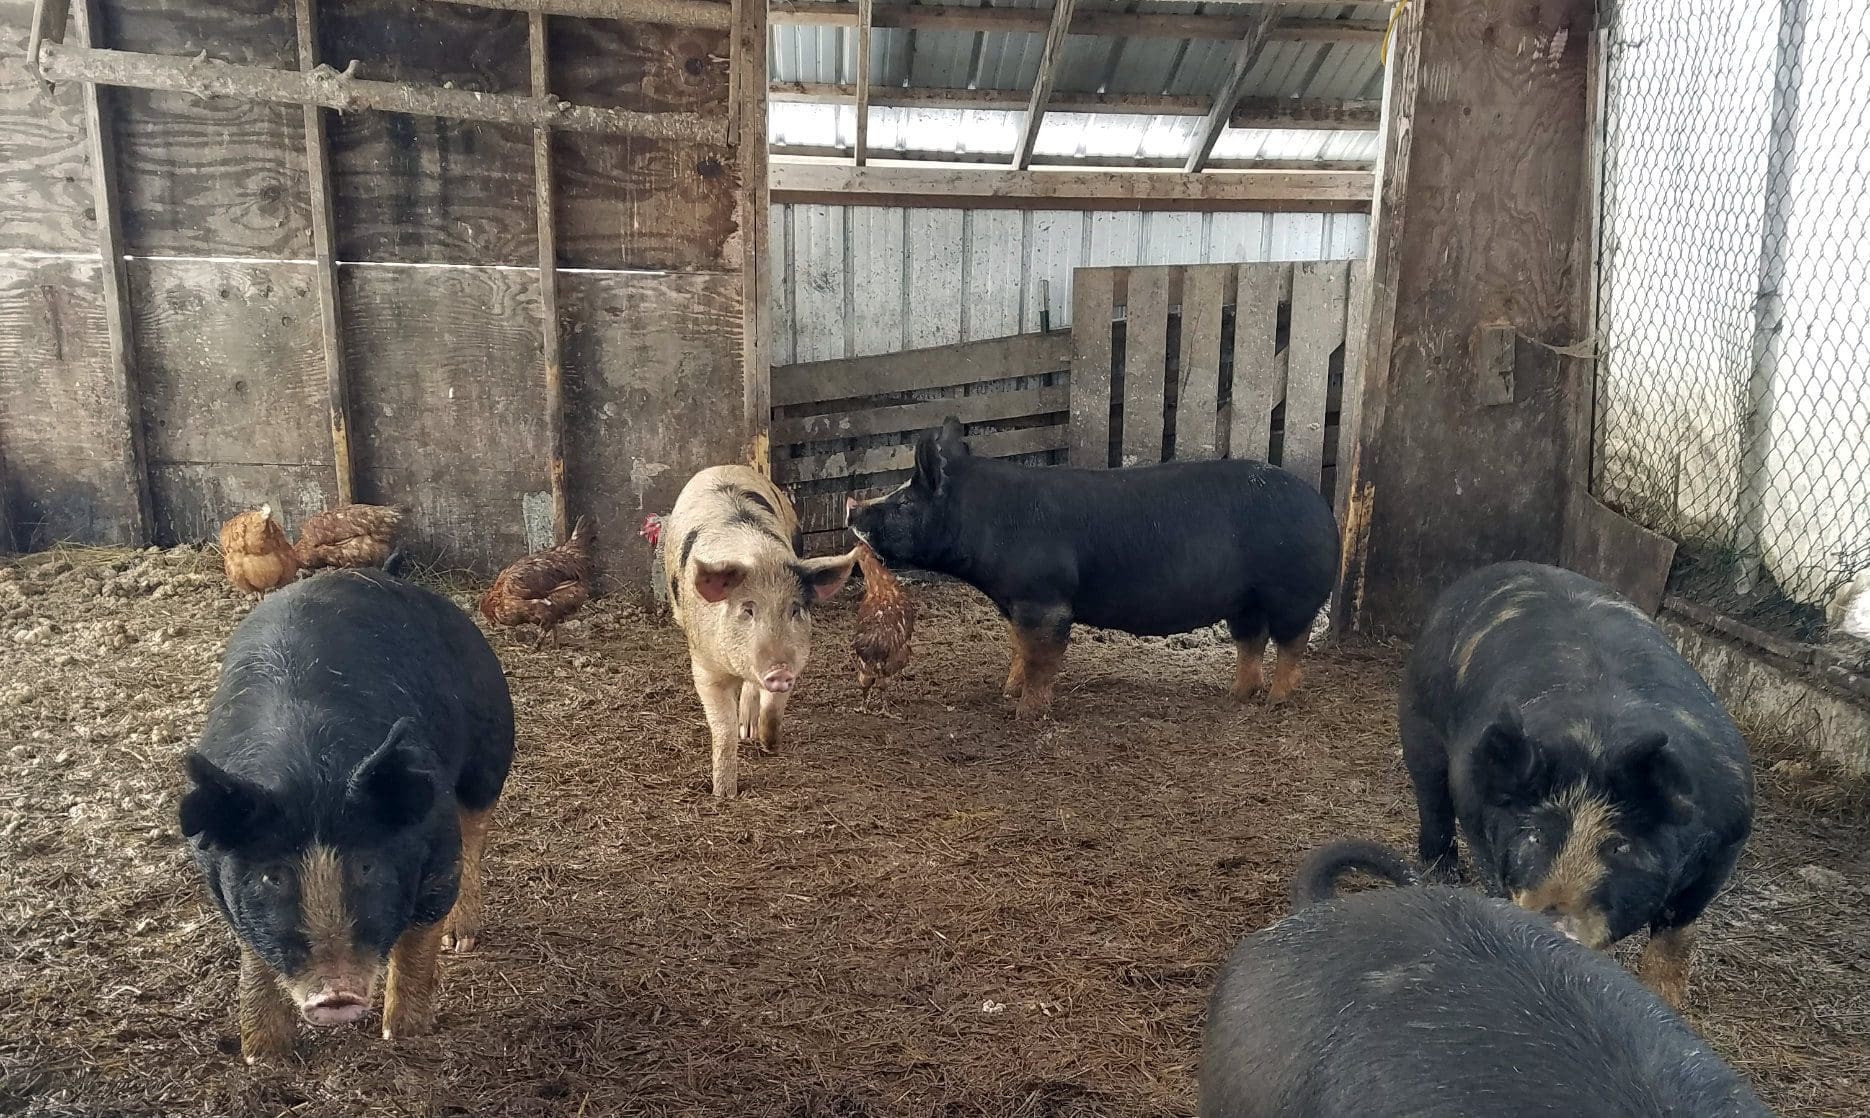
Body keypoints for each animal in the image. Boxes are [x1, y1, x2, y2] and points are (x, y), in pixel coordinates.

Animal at [177, 568, 514, 1062]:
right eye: (272, 876)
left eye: (367, 865)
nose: (335, 996)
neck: (309, 772)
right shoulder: (219, 881)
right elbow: (253, 952)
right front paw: (263, 1056)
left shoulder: (437, 848)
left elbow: (418, 944)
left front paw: (403, 1036)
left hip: (491, 741)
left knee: (478, 825)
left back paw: (462, 942)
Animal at [663, 465, 859, 798]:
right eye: (748, 609)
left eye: (795, 609)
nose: (778, 671)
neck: (761, 560)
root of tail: (723, 467)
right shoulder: (704, 666)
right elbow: (724, 728)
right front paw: (724, 794)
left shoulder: (797, 658)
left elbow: (773, 708)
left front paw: (769, 745)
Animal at [846, 417, 1339, 719]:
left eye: (905, 502)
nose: (854, 509)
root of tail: (1324, 510)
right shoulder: (1015, 602)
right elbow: (1018, 648)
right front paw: (1007, 693)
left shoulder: (1044, 599)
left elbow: (1040, 655)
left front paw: (1025, 713)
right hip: (1245, 601)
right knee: (1251, 642)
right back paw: (1236, 697)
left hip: (1292, 593)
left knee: (1291, 644)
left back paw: (1275, 702)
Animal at [1400, 561, 1754, 1007]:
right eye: (1533, 835)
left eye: (1620, 846)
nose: (1554, 924)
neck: (1596, 744)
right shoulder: (1479, 819)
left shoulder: (1726, 843)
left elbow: (1674, 937)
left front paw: (1666, 1000)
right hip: (1417, 717)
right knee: (1431, 798)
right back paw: (1443, 873)